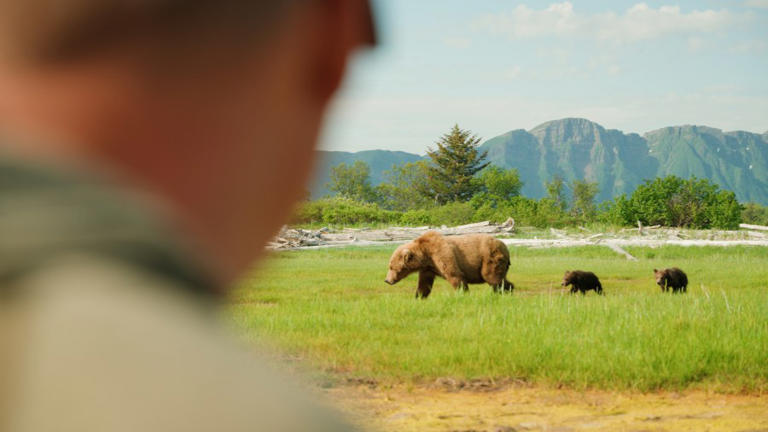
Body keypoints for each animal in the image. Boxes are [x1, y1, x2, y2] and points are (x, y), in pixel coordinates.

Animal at [384, 231, 514, 299]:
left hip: (490, 256)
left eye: (391, 267)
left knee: (491, 276)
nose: (387, 280)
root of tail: (506, 247)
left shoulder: (442, 254)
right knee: (501, 278)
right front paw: (419, 297)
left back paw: (499, 292)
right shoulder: (428, 268)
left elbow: (454, 274)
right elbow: (424, 284)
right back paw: (509, 289)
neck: (425, 255)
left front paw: (462, 294)